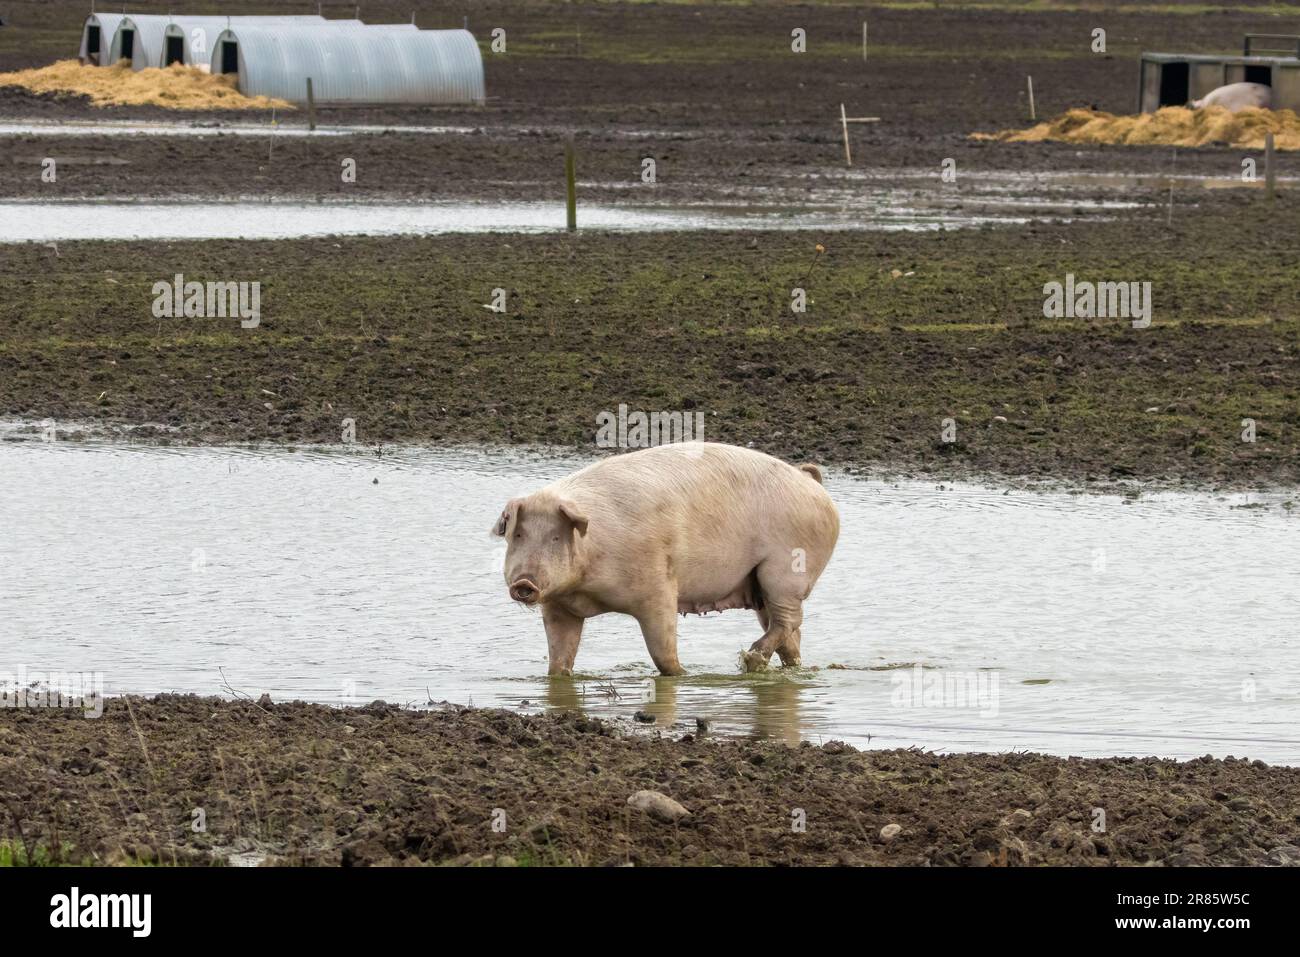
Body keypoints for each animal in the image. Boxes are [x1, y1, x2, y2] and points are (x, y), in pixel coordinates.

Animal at [492, 442, 839, 676]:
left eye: (555, 537)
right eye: (518, 536)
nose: (523, 583)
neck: (586, 586)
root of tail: (809, 480)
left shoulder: (658, 586)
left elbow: (663, 651)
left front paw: (681, 675)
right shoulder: (558, 606)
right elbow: (559, 658)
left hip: (786, 571)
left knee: (789, 620)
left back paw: (751, 659)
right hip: (760, 585)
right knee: (789, 634)